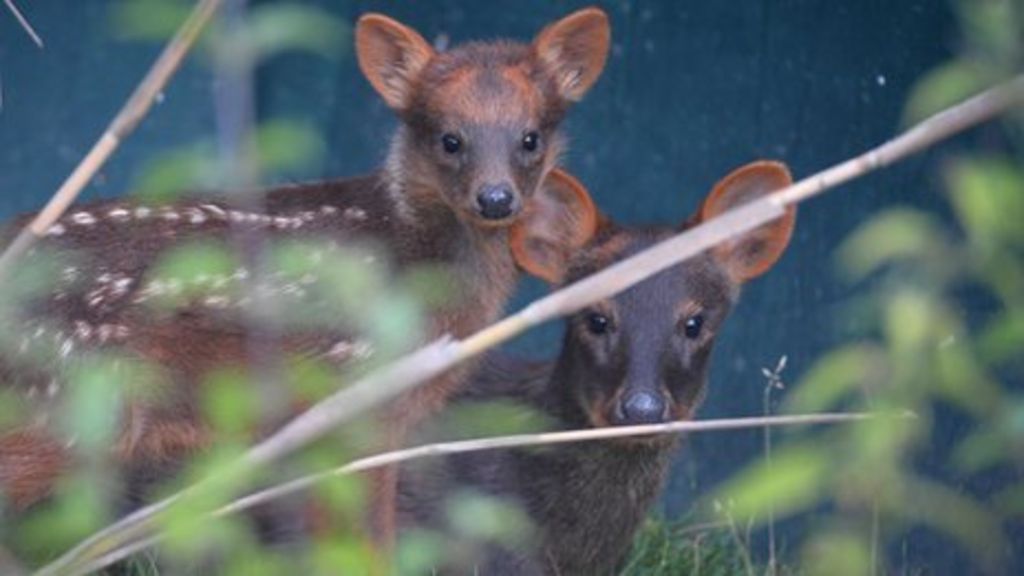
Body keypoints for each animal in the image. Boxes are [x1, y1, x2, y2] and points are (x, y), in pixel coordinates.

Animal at [0, 7, 610, 546]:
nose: (496, 199)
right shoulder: (357, 398)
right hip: (62, 409)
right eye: (449, 139)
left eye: (530, 139)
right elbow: (365, 540)